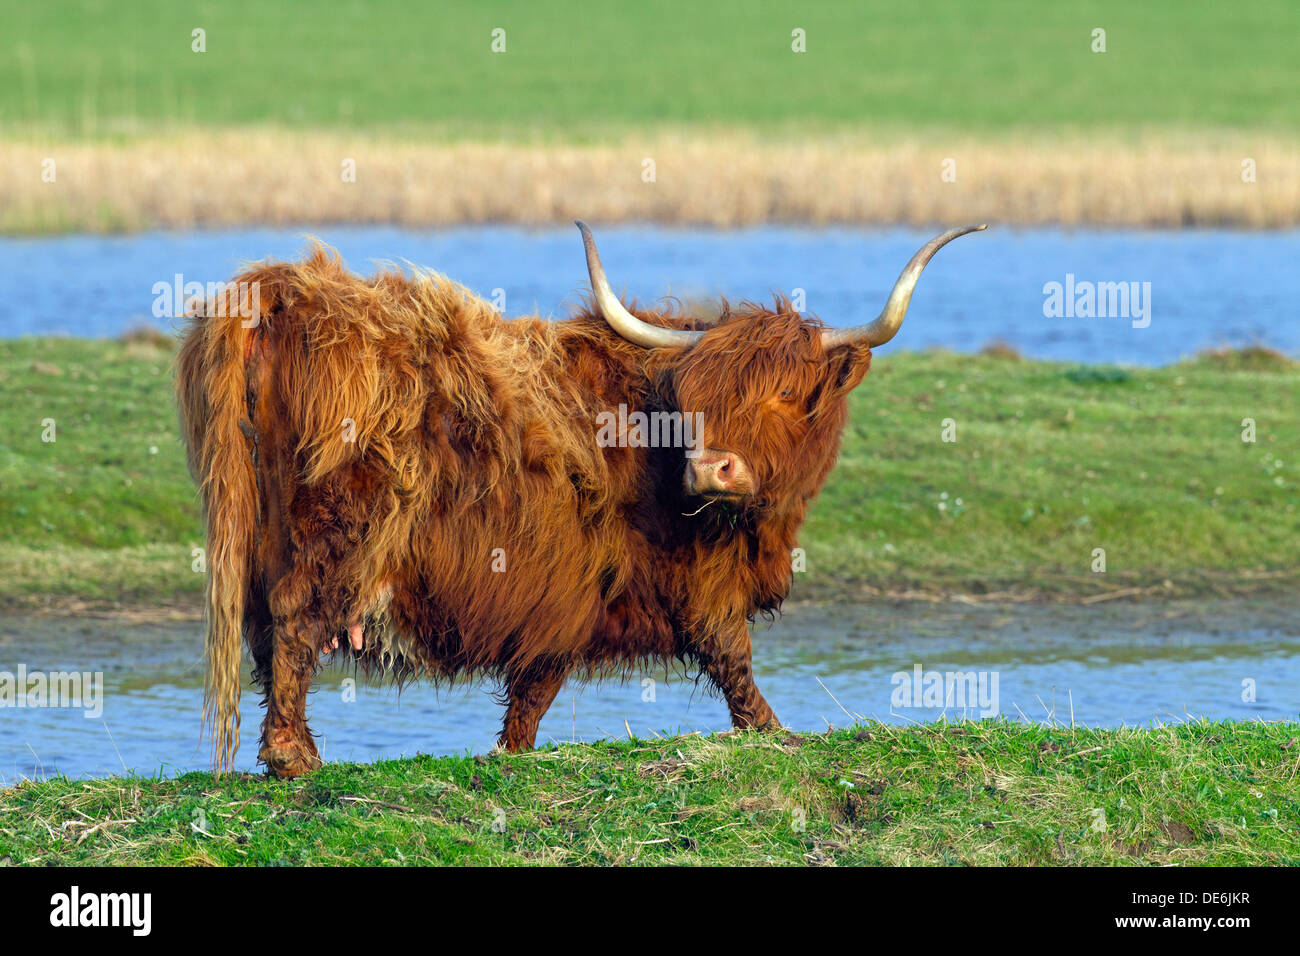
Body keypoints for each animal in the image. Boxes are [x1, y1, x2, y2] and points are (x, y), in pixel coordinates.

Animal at [175, 221, 985, 776]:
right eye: (696, 398)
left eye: (789, 395)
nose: (711, 471)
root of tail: (285, 289)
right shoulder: (675, 582)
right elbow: (730, 655)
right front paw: (774, 731)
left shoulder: (565, 604)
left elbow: (530, 702)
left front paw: (510, 755)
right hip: (338, 529)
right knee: (293, 621)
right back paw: (295, 758)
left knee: (262, 634)